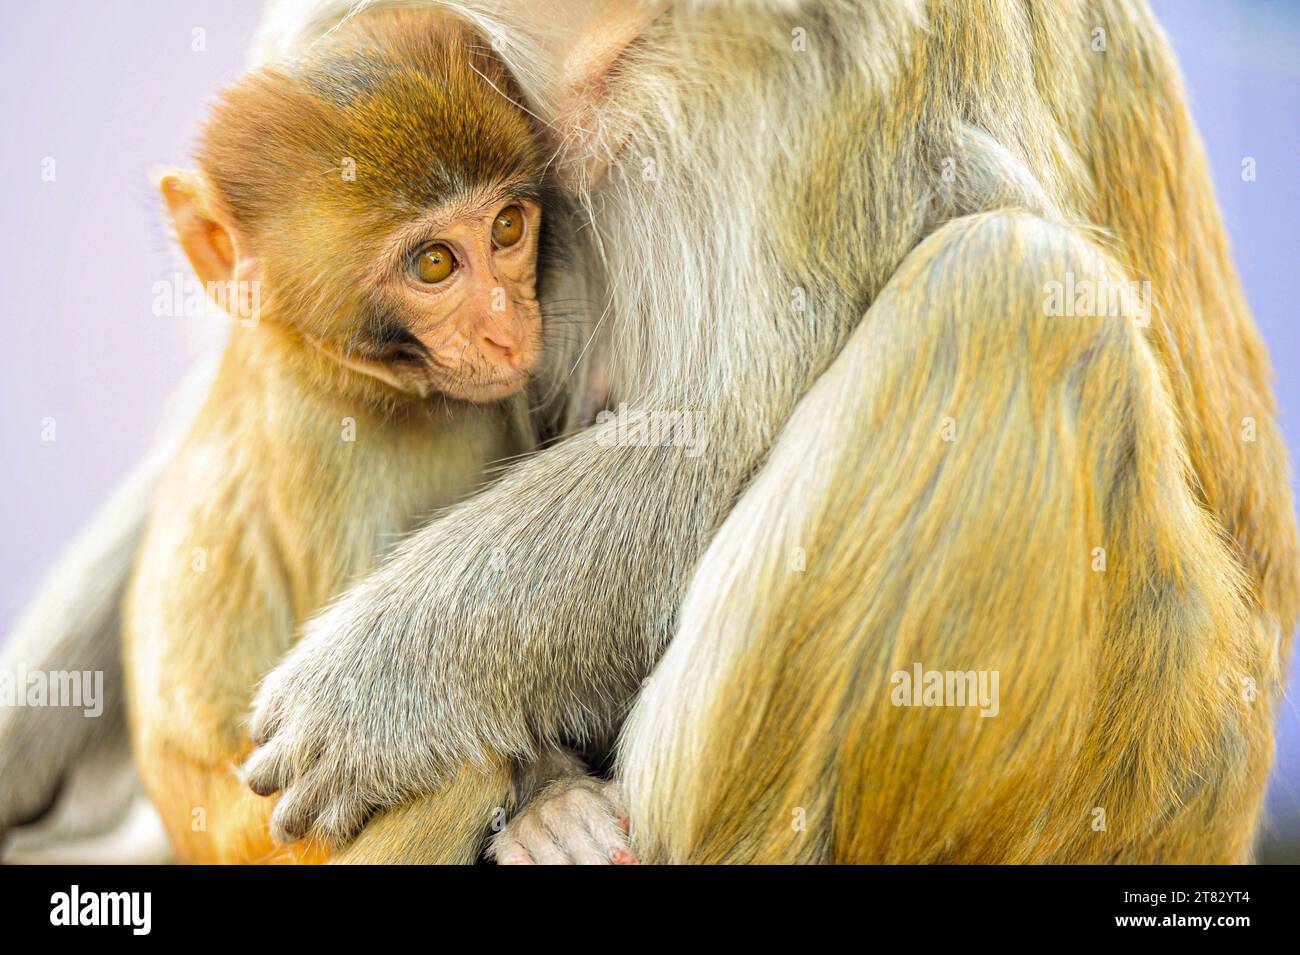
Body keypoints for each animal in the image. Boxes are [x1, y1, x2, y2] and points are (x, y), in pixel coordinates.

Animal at [4, 0, 1296, 865]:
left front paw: (368, 689)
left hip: (1128, 776)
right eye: (440, 262)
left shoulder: (851, 65)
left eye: (505, 235)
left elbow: (718, 429)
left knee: (1011, 294)